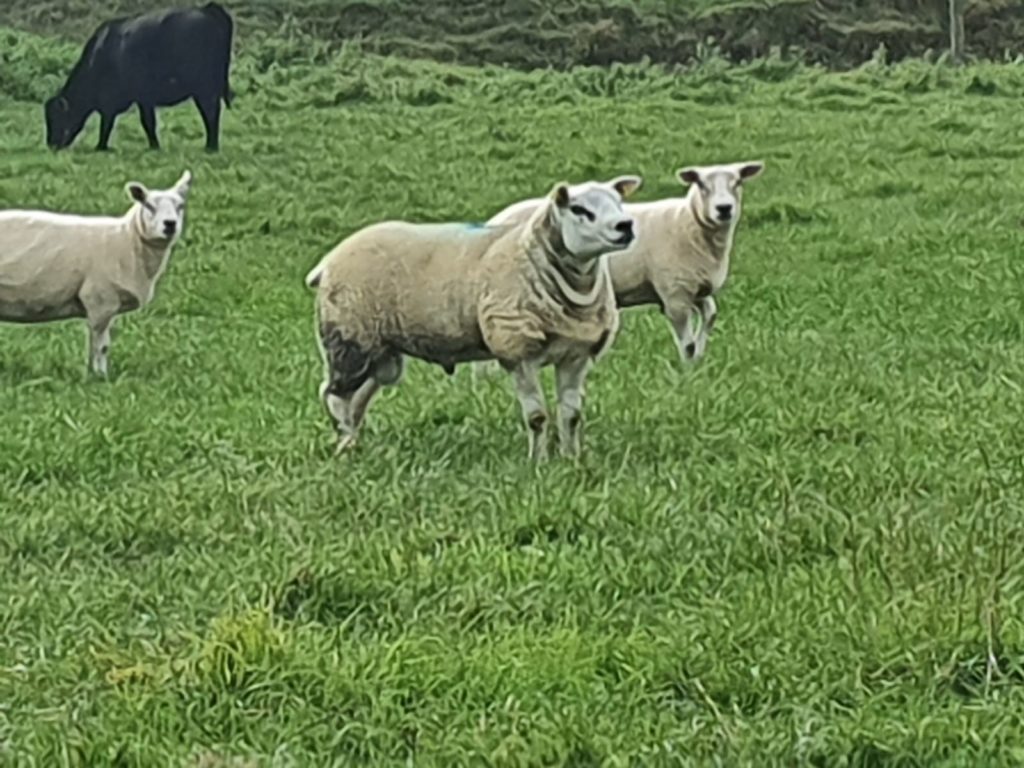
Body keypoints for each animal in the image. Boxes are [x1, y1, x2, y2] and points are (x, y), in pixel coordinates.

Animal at [0, 170, 193, 376]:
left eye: (180, 206)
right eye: (148, 205)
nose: (170, 224)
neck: (129, 240)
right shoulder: (100, 299)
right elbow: (101, 347)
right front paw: (100, 376)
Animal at [304, 174, 643, 461]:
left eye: (619, 202)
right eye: (578, 209)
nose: (625, 225)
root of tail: (326, 263)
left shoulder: (575, 354)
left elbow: (571, 416)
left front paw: (571, 460)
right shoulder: (517, 350)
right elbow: (536, 417)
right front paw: (539, 463)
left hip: (380, 352)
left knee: (359, 398)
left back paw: (353, 441)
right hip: (349, 339)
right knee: (335, 395)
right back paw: (346, 446)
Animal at [474, 161, 764, 378]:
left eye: (737, 182)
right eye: (702, 185)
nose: (724, 209)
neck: (689, 222)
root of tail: (494, 220)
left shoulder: (695, 288)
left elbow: (710, 314)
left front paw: (701, 358)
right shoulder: (675, 294)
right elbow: (687, 342)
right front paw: (688, 371)